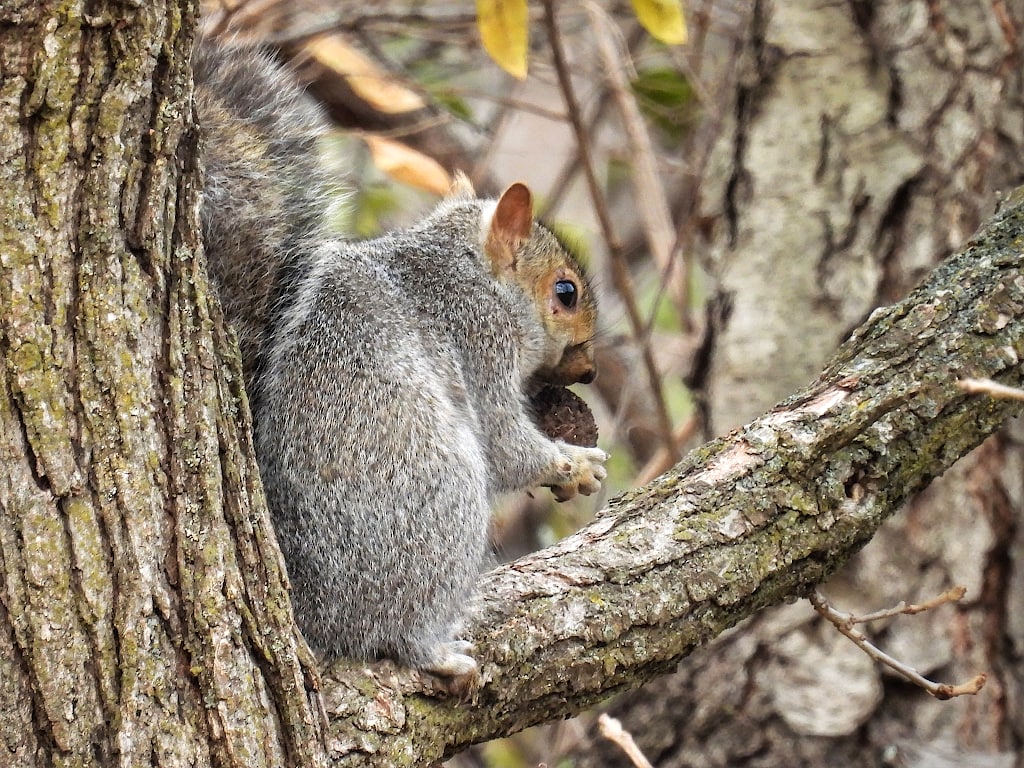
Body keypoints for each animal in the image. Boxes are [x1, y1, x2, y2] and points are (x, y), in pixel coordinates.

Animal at [194, 41, 608, 682]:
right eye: (565, 292)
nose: (588, 371)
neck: (466, 269)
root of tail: (316, 620)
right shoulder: (479, 342)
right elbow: (504, 443)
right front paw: (570, 463)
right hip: (443, 505)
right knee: (398, 631)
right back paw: (435, 650)